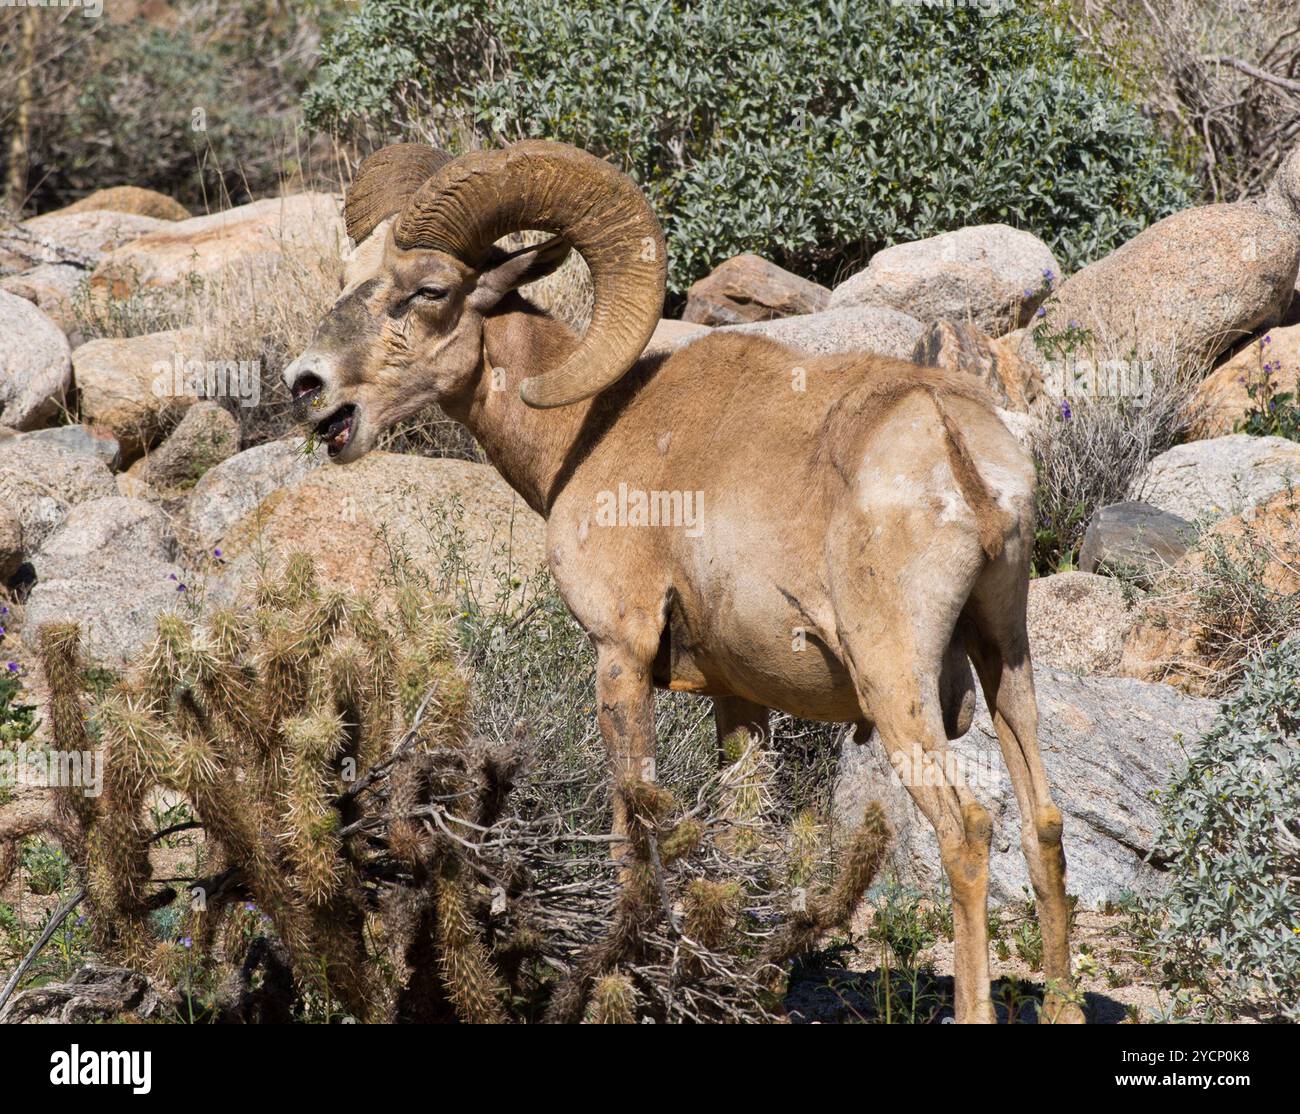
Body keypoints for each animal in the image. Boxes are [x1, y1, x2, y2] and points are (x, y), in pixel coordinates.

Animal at [283, 139, 1084, 1024]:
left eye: (429, 290)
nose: (307, 386)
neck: (588, 430)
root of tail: (955, 446)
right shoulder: (741, 700)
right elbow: (742, 846)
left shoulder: (621, 656)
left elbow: (632, 834)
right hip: (1004, 656)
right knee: (1044, 824)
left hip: (895, 684)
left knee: (968, 831)